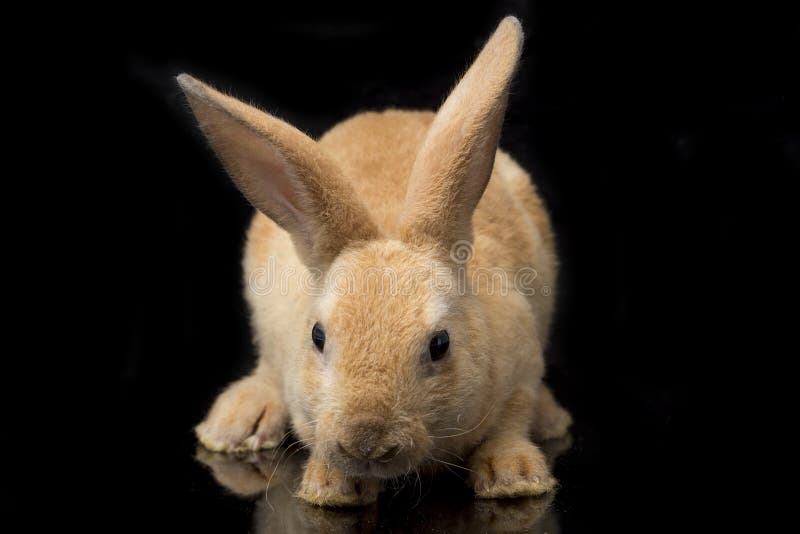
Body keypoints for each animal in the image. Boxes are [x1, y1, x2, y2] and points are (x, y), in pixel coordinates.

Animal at [179, 16, 572, 507]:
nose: (365, 443)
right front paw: (333, 487)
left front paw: (513, 477)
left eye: (440, 344)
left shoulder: (521, 366)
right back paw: (235, 425)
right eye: (318, 337)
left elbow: (511, 423)